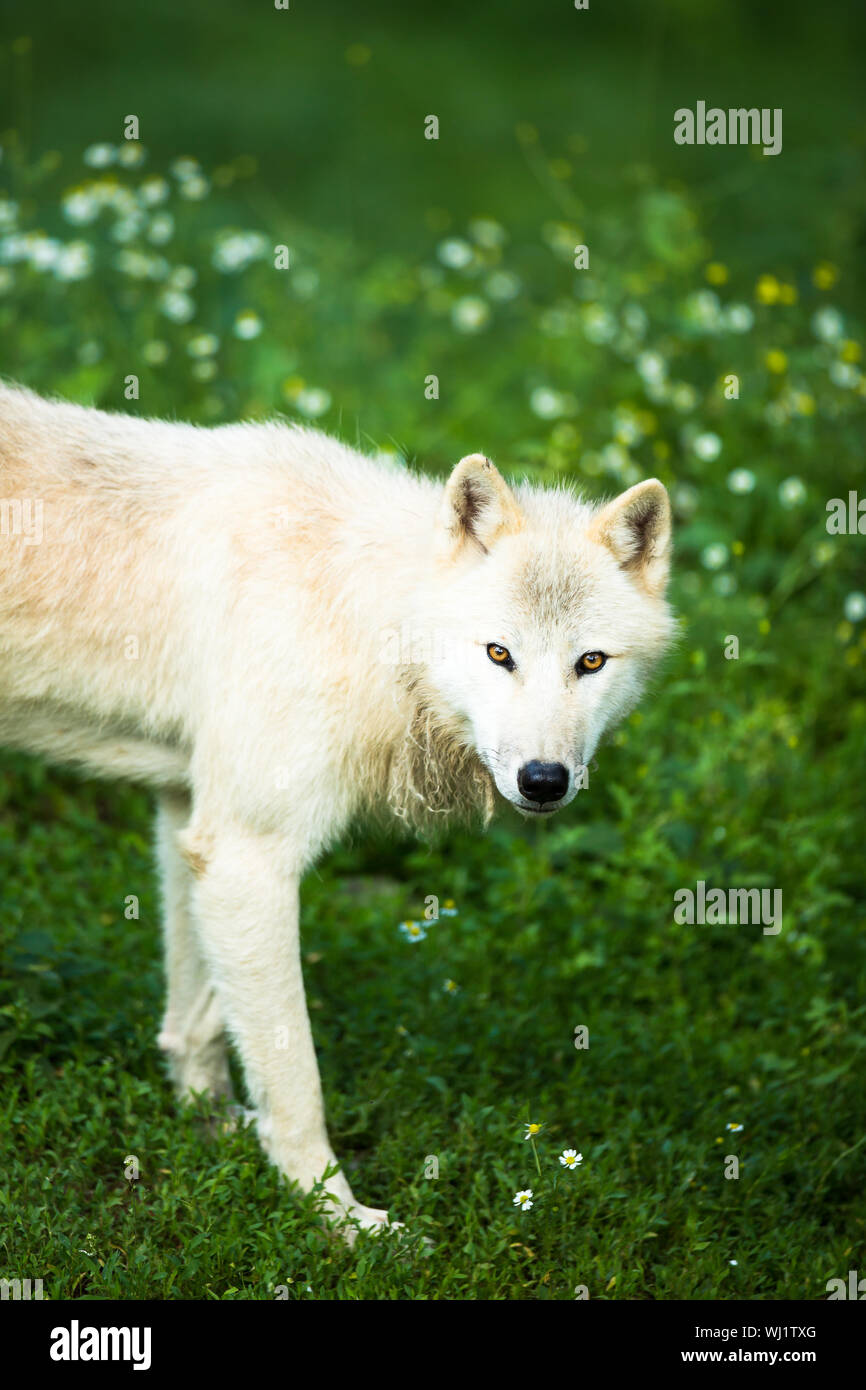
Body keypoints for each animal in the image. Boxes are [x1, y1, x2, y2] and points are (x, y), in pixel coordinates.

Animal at [0, 380, 674, 1234]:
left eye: (590, 662)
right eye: (499, 654)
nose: (545, 780)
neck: (366, 620)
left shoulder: (193, 823)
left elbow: (199, 1021)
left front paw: (210, 1126)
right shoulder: (248, 856)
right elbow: (297, 1078)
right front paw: (338, 1217)